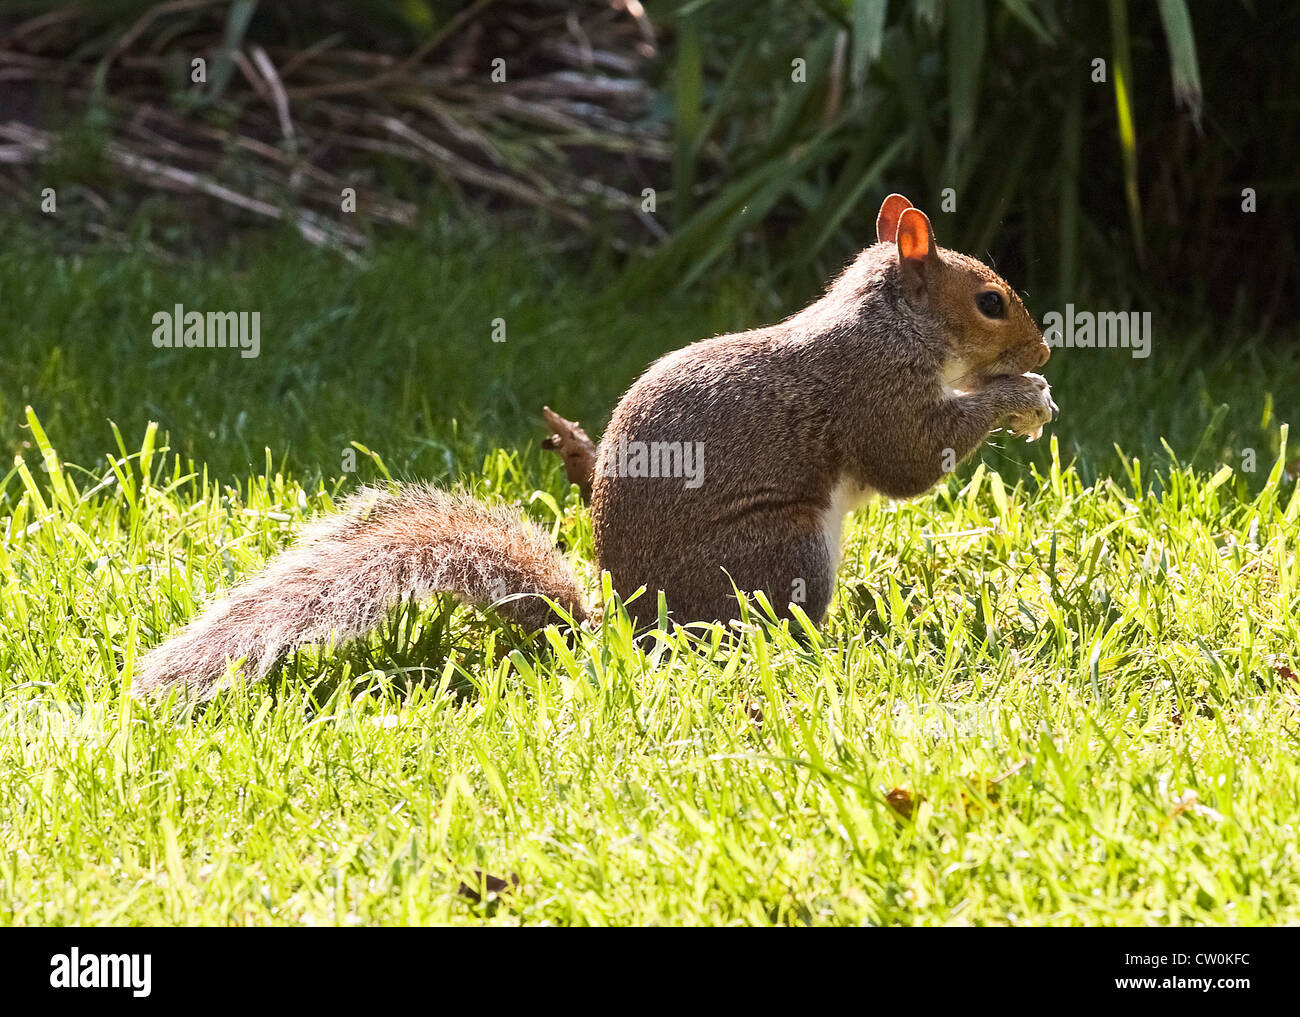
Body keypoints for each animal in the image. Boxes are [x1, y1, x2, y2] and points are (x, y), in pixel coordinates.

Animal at [132, 194, 1056, 700]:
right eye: (991, 301)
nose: (1045, 350)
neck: (891, 322)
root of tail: (628, 631)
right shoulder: (873, 391)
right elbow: (913, 462)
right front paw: (1017, 398)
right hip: (781, 550)